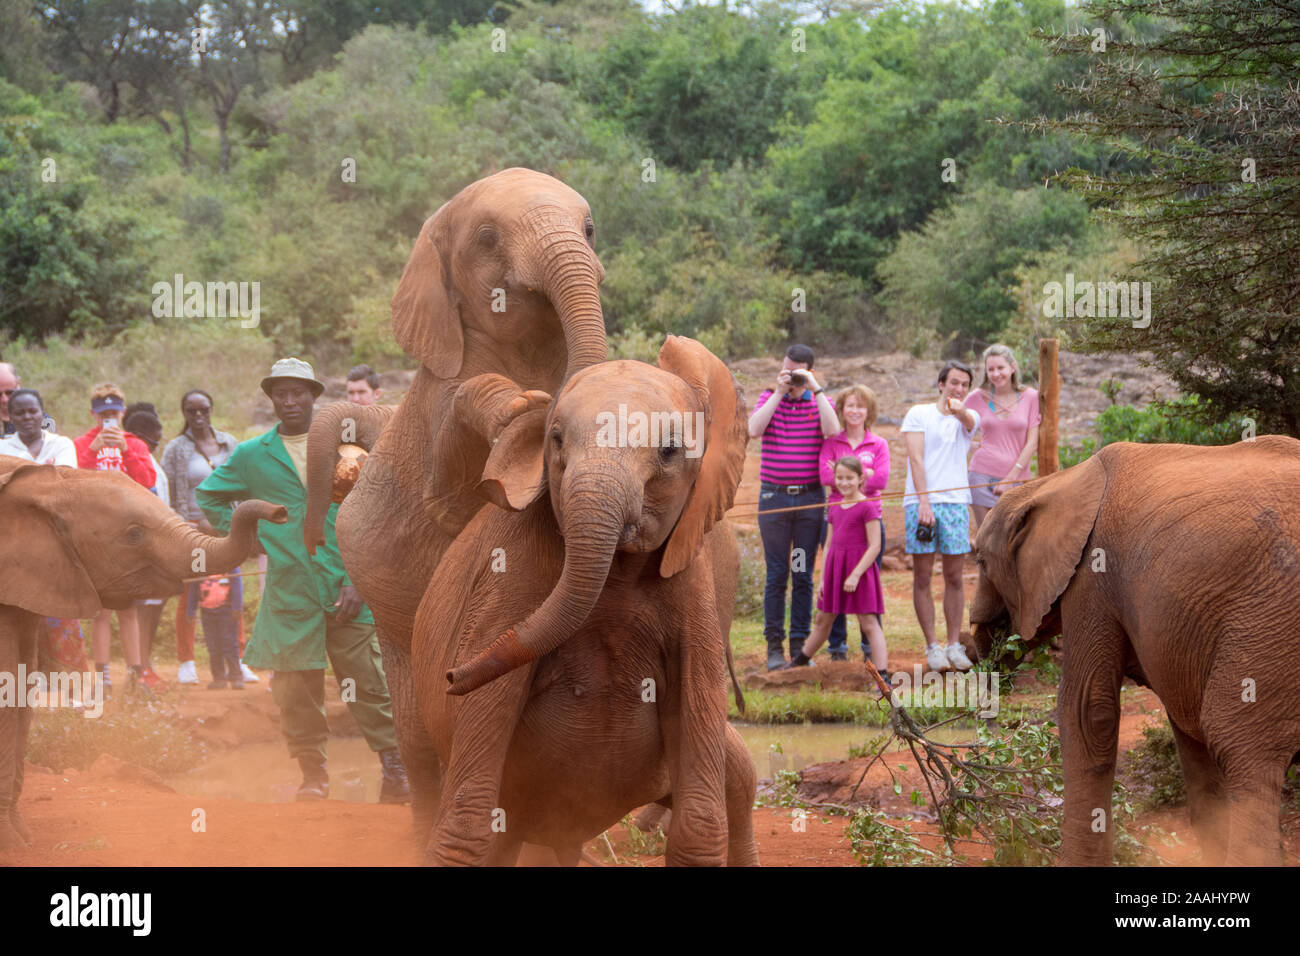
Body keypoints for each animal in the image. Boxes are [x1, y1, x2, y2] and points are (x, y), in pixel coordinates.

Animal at [0, 455, 286, 850]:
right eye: (133, 534)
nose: (281, 511)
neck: (49, 481)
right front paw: (12, 844)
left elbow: (19, 693)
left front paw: (21, 839)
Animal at [302, 168, 608, 839]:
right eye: (488, 238)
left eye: (591, 228)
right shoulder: (442, 394)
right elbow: (452, 496)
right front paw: (514, 414)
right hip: (389, 614)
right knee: (416, 727)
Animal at [410, 336, 758, 866]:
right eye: (555, 439)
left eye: (670, 451)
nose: (452, 676)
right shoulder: (508, 580)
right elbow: (467, 824)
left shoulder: (692, 589)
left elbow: (700, 826)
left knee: (739, 779)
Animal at [968, 436, 1300, 865]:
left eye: (979, 561)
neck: (1055, 483)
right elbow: (1187, 734)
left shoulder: (1093, 574)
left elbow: (1086, 712)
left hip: (1271, 618)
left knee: (1240, 746)